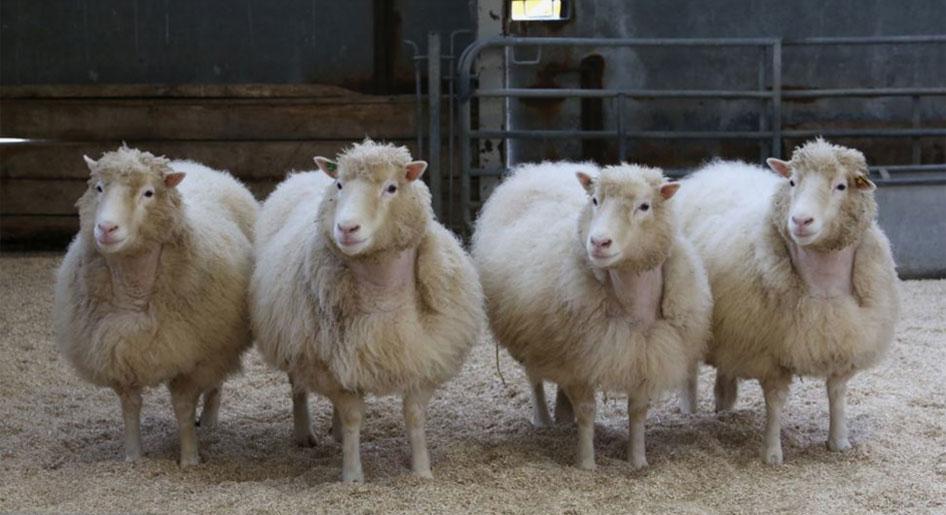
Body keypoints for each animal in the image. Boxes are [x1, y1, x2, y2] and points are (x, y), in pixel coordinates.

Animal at [53, 145, 257, 467]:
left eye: (148, 193)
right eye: (98, 188)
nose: (106, 228)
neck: (134, 292)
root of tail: (195, 165)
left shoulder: (195, 357)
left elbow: (183, 408)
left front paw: (189, 459)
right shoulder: (119, 354)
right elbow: (130, 407)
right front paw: (133, 456)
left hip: (219, 343)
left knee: (216, 383)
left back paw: (210, 422)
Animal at [251, 139, 484, 482]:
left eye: (391, 187)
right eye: (339, 184)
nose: (346, 228)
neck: (382, 294)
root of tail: (303, 174)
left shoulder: (423, 356)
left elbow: (414, 417)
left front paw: (422, 471)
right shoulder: (328, 365)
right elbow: (352, 419)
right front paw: (353, 477)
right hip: (296, 340)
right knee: (298, 387)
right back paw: (304, 433)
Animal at [472, 161, 712, 470]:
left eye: (644, 206)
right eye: (595, 200)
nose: (598, 242)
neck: (631, 302)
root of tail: (540, 168)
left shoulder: (643, 354)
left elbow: (638, 411)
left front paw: (638, 460)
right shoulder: (582, 361)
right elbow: (587, 410)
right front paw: (586, 463)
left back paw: (563, 416)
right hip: (535, 336)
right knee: (534, 377)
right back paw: (544, 420)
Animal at [674, 138, 900, 465]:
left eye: (841, 186)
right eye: (792, 181)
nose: (800, 220)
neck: (823, 288)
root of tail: (716, 169)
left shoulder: (844, 340)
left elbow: (837, 393)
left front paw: (838, 441)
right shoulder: (770, 354)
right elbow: (776, 403)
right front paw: (772, 453)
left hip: (735, 329)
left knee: (725, 372)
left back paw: (725, 407)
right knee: (689, 370)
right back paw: (689, 410)